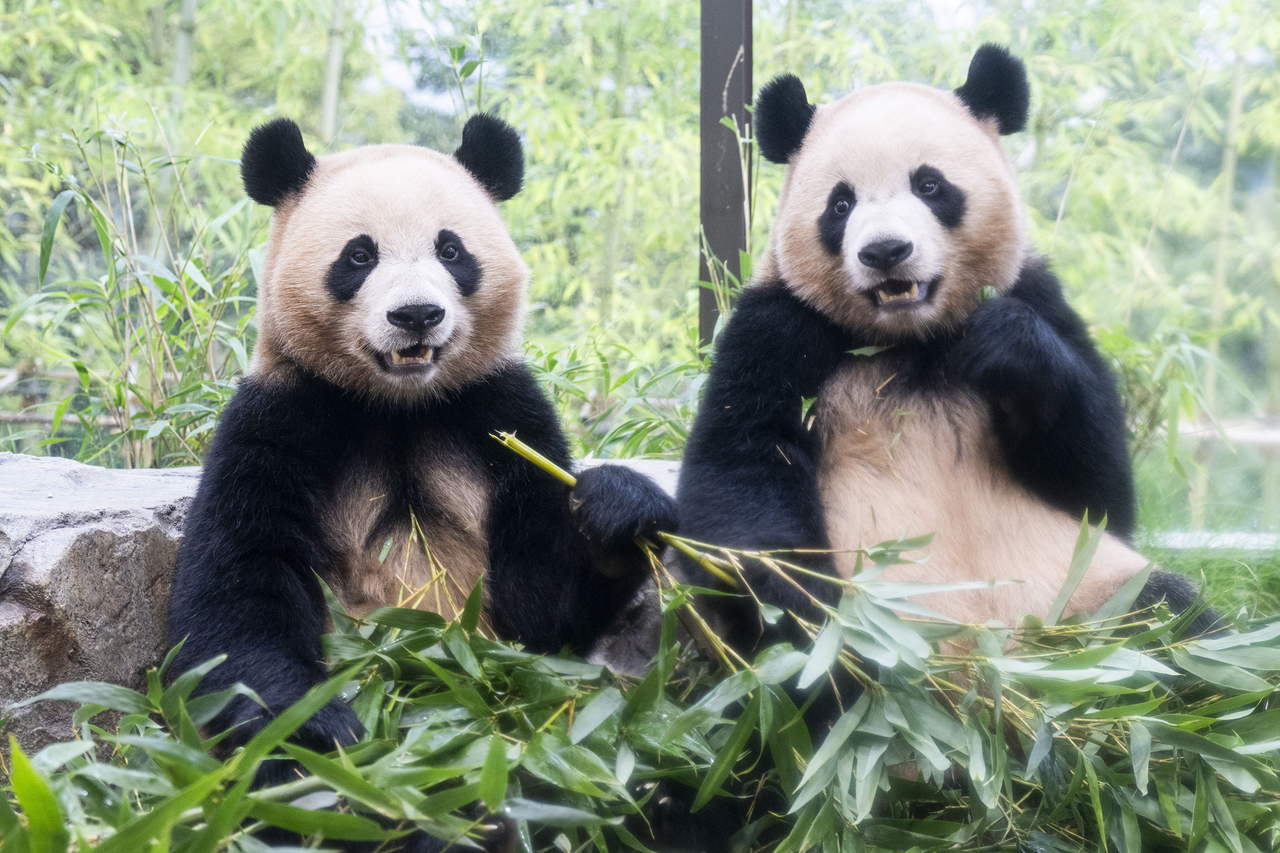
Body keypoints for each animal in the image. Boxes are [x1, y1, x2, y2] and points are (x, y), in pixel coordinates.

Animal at [167, 115, 677, 800]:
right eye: (359, 255)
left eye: (451, 251)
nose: (416, 314)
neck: (400, 404)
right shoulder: (282, 415)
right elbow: (232, 596)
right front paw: (316, 731)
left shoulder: (501, 411)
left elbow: (544, 605)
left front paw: (619, 508)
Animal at [677, 45, 1219, 661]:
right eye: (841, 203)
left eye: (930, 186)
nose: (886, 251)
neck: (911, 338)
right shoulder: (781, 326)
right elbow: (743, 466)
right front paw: (799, 607)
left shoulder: (1039, 297)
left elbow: (1098, 492)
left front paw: (1004, 346)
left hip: (1084, 590)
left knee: (1173, 623)